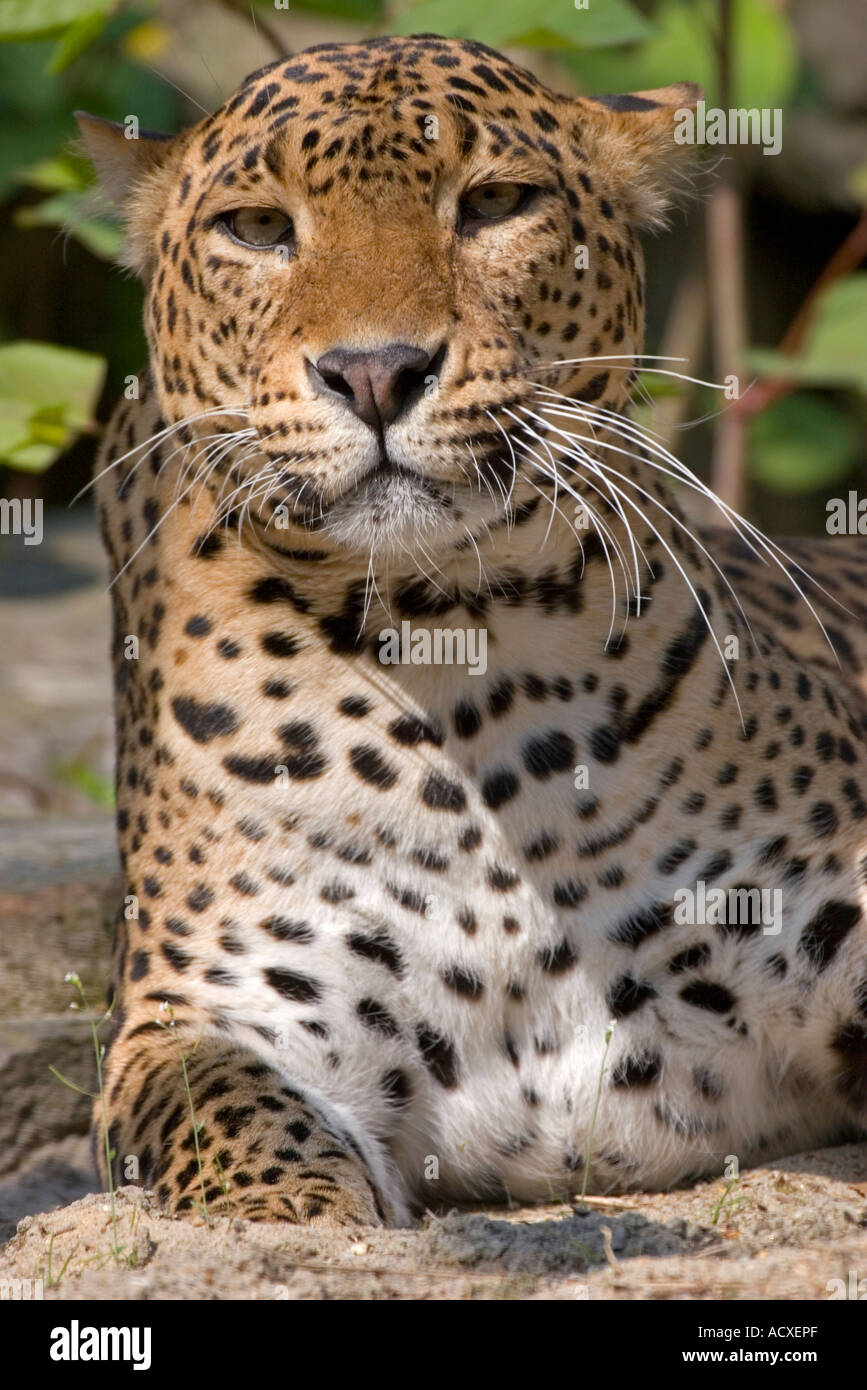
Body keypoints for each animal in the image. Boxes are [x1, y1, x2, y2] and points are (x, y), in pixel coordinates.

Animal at [75, 34, 867, 1229]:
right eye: (256, 227)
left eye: (495, 203)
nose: (374, 372)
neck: (456, 656)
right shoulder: (201, 1010)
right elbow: (234, 1115)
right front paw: (306, 1212)